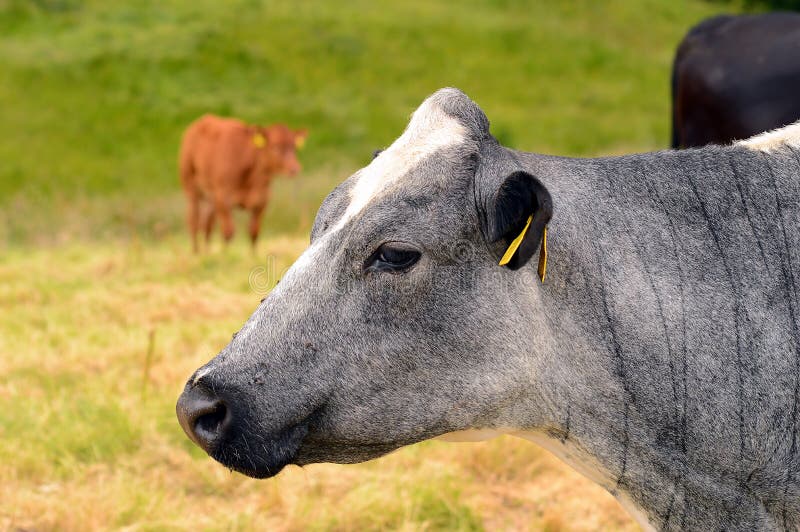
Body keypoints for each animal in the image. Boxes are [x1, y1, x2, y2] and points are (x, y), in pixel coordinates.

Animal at [179, 114, 308, 251]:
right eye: (275, 146)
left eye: (294, 147)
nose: (294, 168)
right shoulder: (223, 198)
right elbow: (228, 232)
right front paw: (226, 254)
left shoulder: (262, 201)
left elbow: (254, 231)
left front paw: (253, 255)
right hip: (191, 187)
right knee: (194, 221)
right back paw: (196, 252)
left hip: (210, 197)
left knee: (207, 224)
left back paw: (207, 252)